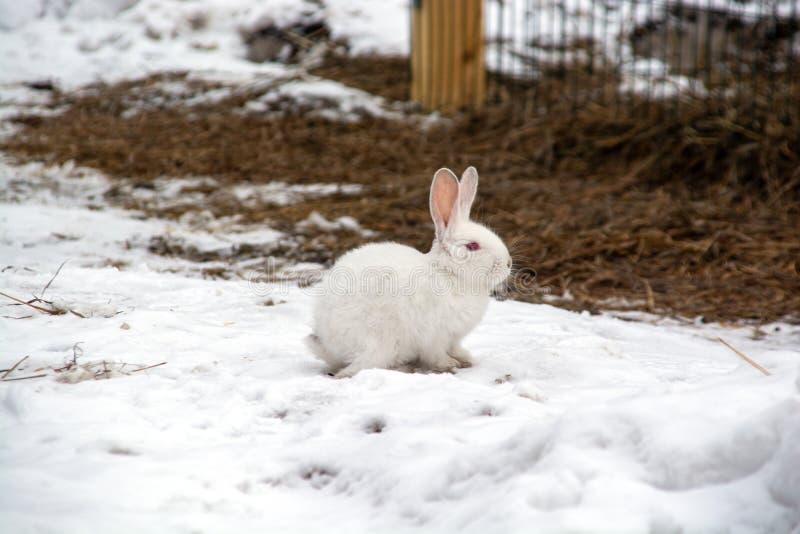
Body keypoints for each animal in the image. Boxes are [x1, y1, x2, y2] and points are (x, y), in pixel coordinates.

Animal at [305, 166, 511, 378]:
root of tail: (329, 346)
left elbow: (455, 348)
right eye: (472, 246)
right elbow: (436, 354)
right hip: (380, 342)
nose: (508, 264)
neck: (448, 272)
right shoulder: (435, 335)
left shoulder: (453, 337)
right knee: (359, 367)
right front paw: (448, 365)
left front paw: (465, 358)